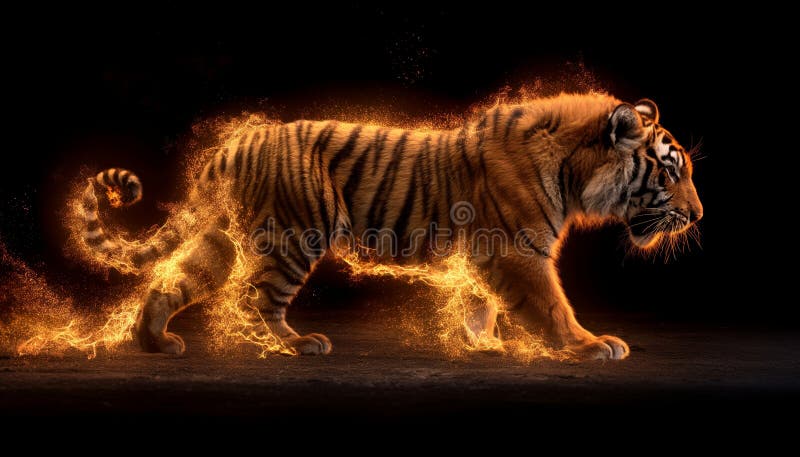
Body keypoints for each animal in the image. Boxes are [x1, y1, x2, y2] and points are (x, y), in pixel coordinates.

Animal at [78, 93, 702, 360]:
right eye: (670, 173)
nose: (699, 215)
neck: (576, 171)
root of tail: (235, 143)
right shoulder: (517, 251)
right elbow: (552, 306)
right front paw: (590, 346)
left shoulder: (487, 253)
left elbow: (482, 305)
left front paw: (483, 345)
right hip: (295, 235)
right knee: (259, 299)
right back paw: (299, 345)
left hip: (224, 238)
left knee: (173, 280)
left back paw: (153, 340)